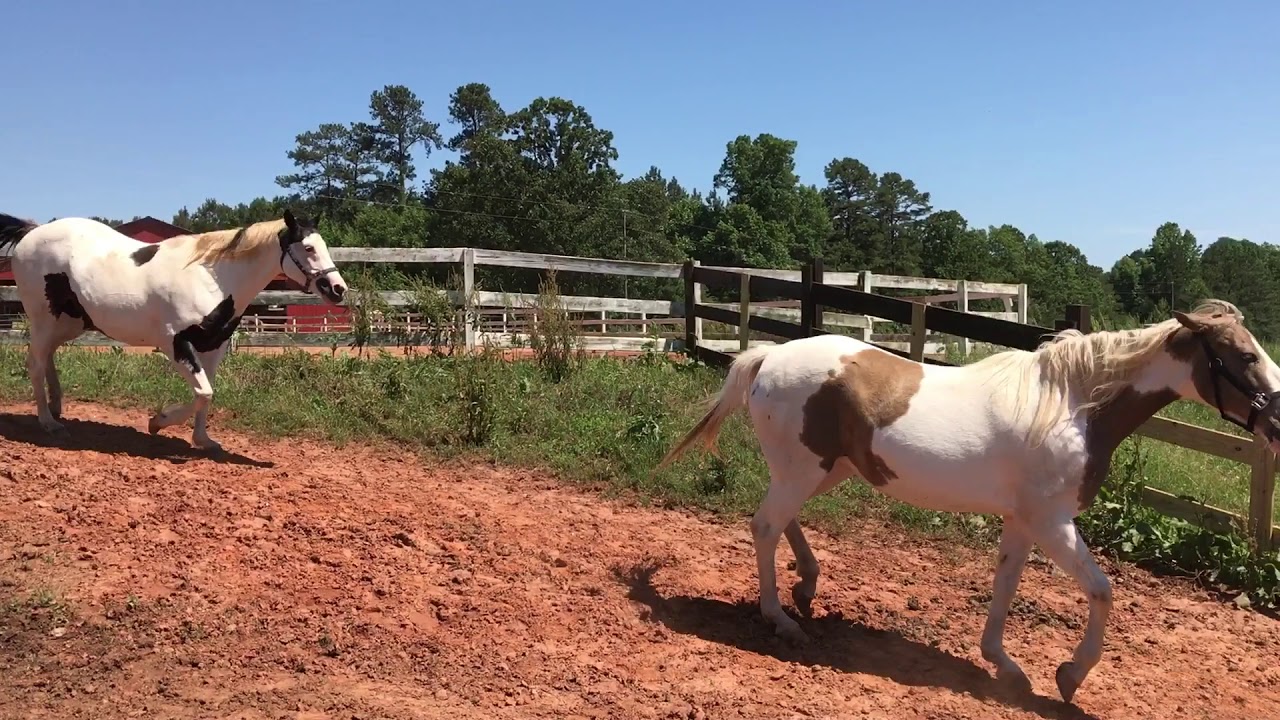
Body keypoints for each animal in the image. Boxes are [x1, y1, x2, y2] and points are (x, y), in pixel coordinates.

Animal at [0, 210, 348, 451]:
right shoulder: (176, 343)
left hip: (67, 322)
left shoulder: (214, 346)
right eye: (308, 248)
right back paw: (48, 422)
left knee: (47, 357)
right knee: (35, 363)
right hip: (44, 319)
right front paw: (158, 422)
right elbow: (203, 392)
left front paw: (203, 440)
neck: (213, 277)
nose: (338, 289)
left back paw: (57, 409)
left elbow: (207, 393)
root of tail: (31, 232)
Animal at [657, 300, 1280, 703]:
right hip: (804, 470)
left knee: (783, 521)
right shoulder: (1052, 522)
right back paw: (781, 619)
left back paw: (807, 585)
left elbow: (1004, 588)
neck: (1071, 406)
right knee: (765, 525)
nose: (1278, 421)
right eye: (1245, 356)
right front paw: (1069, 676)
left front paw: (1005, 667)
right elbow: (1103, 592)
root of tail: (769, 357)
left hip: (824, 470)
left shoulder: (1023, 522)